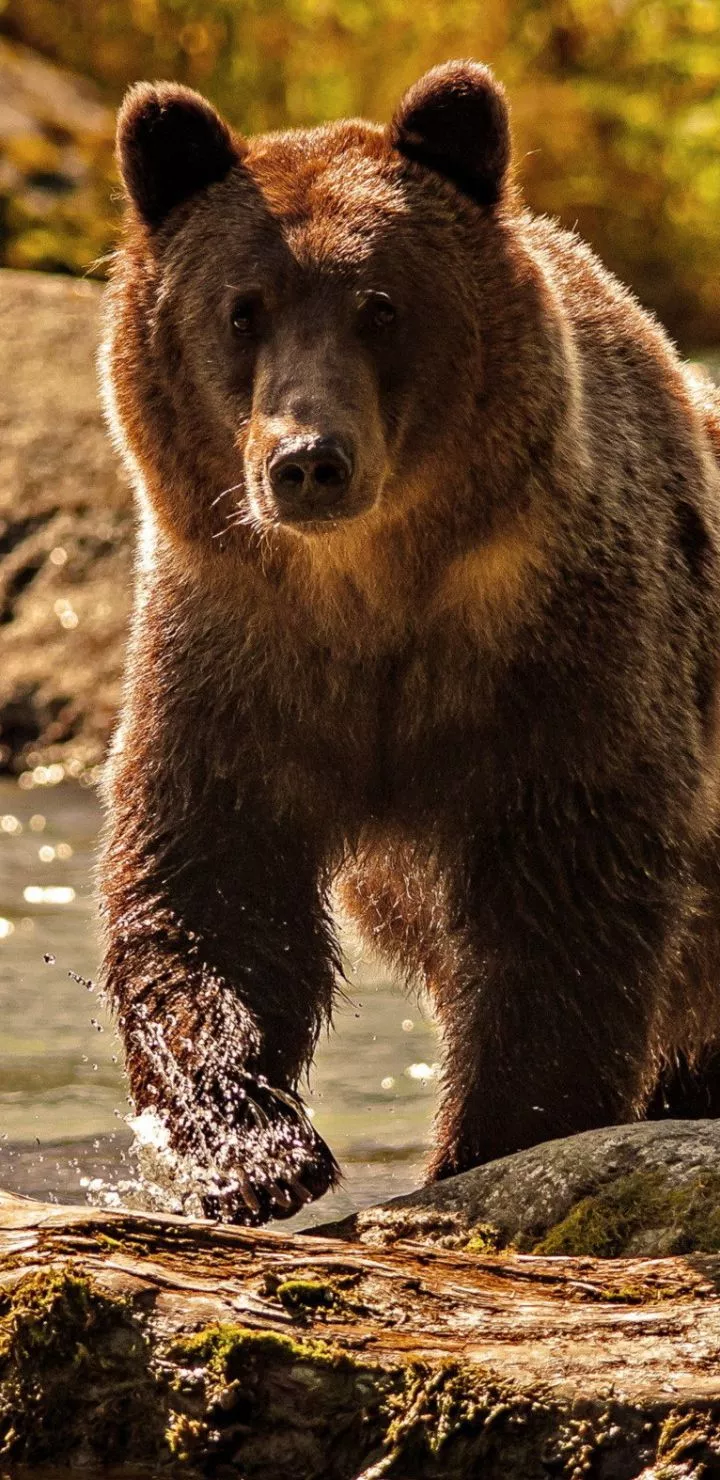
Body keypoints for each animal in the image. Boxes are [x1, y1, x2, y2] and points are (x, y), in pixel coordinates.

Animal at [99, 59, 720, 1224]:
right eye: (240, 309)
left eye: (379, 303)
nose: (307, 460)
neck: (375, 587)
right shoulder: (234, 648)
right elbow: (208, 883)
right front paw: (251, 1151)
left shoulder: (560, 651)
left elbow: (560, 911)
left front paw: (486, 1142)